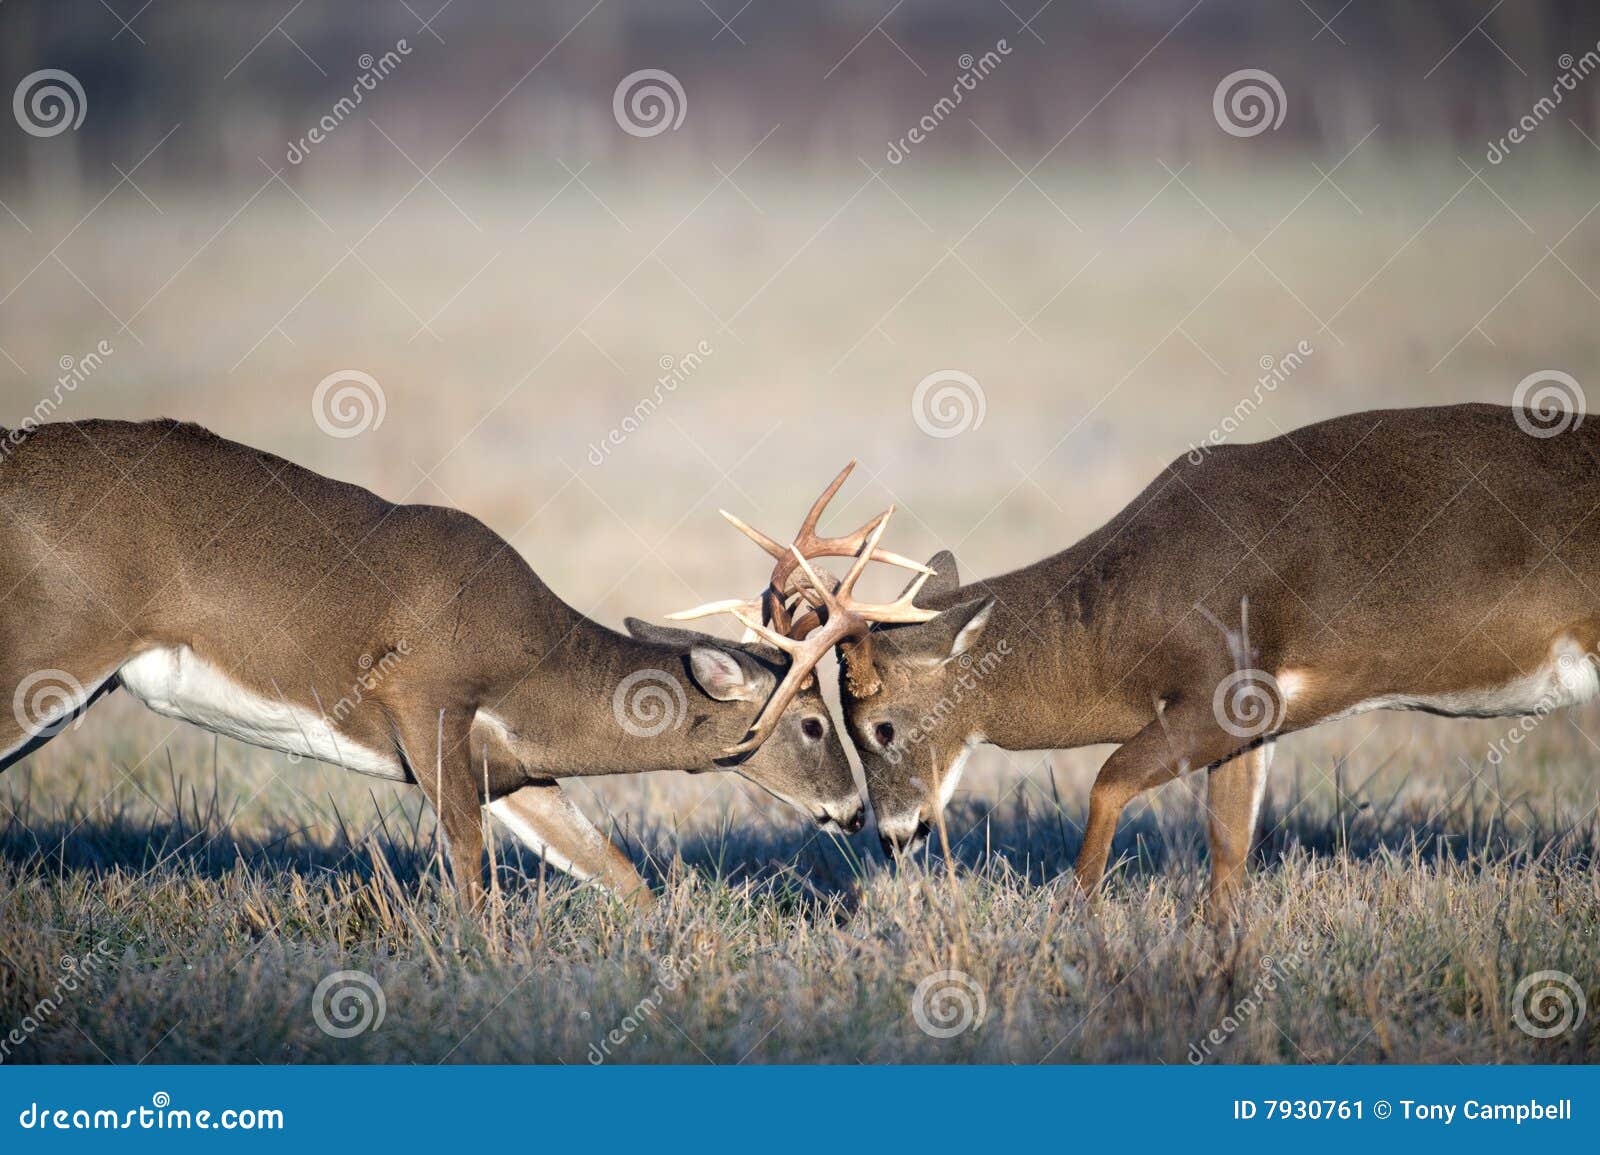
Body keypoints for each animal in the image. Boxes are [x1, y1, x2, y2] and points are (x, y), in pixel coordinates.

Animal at [0, 418, 889, 911]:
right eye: (815, 722)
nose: (855, 813)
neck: (534, 667)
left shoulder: (513, 766)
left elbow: (618, 871)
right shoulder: (423, 694)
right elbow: (470, 875)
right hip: (51, 643)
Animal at [686, 403, 1600, 929]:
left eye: (878, 723)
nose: (893, 834)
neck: (1124, 625)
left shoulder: (1228, 686)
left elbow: (1107, 783)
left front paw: (1077, 919)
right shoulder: (1256, 711)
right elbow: (1229, 846)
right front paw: (1216, 950)